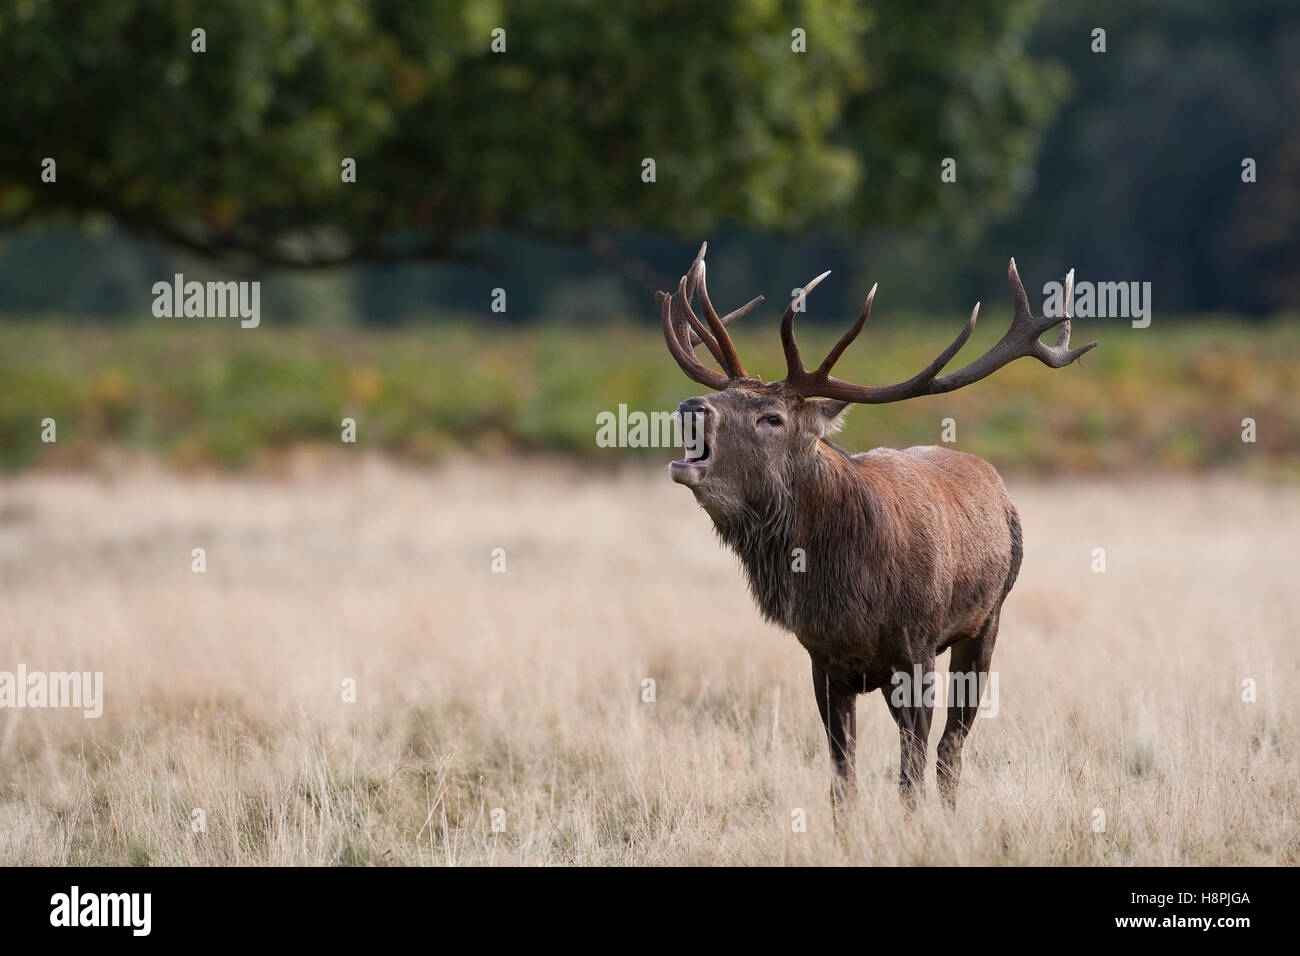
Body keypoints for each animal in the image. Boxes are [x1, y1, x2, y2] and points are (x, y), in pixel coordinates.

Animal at [658, 243, 1095, 811]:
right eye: (726, 394)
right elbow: (842, 780)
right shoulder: (822, 660)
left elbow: (910, 777)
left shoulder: (916, 650)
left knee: (951, 747)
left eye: (772, 417)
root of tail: (996, 484)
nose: (691, 406)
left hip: (988, 618)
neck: (850, 591)